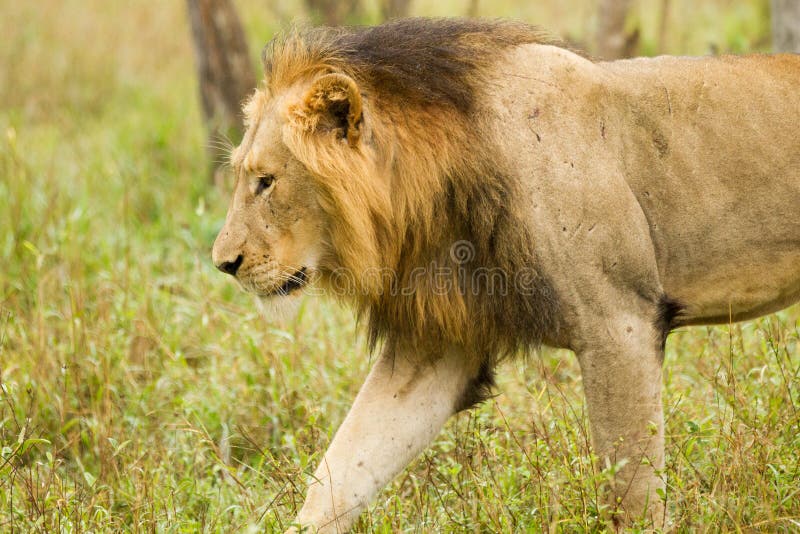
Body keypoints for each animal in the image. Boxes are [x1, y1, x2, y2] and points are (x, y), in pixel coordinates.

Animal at [211, 18, 800, 532]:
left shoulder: (621, 324)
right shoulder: (437, 343)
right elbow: (341, 472)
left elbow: (631, 494)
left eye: (266, 181)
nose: (223, 264)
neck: (434, 197)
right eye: (245, 176)